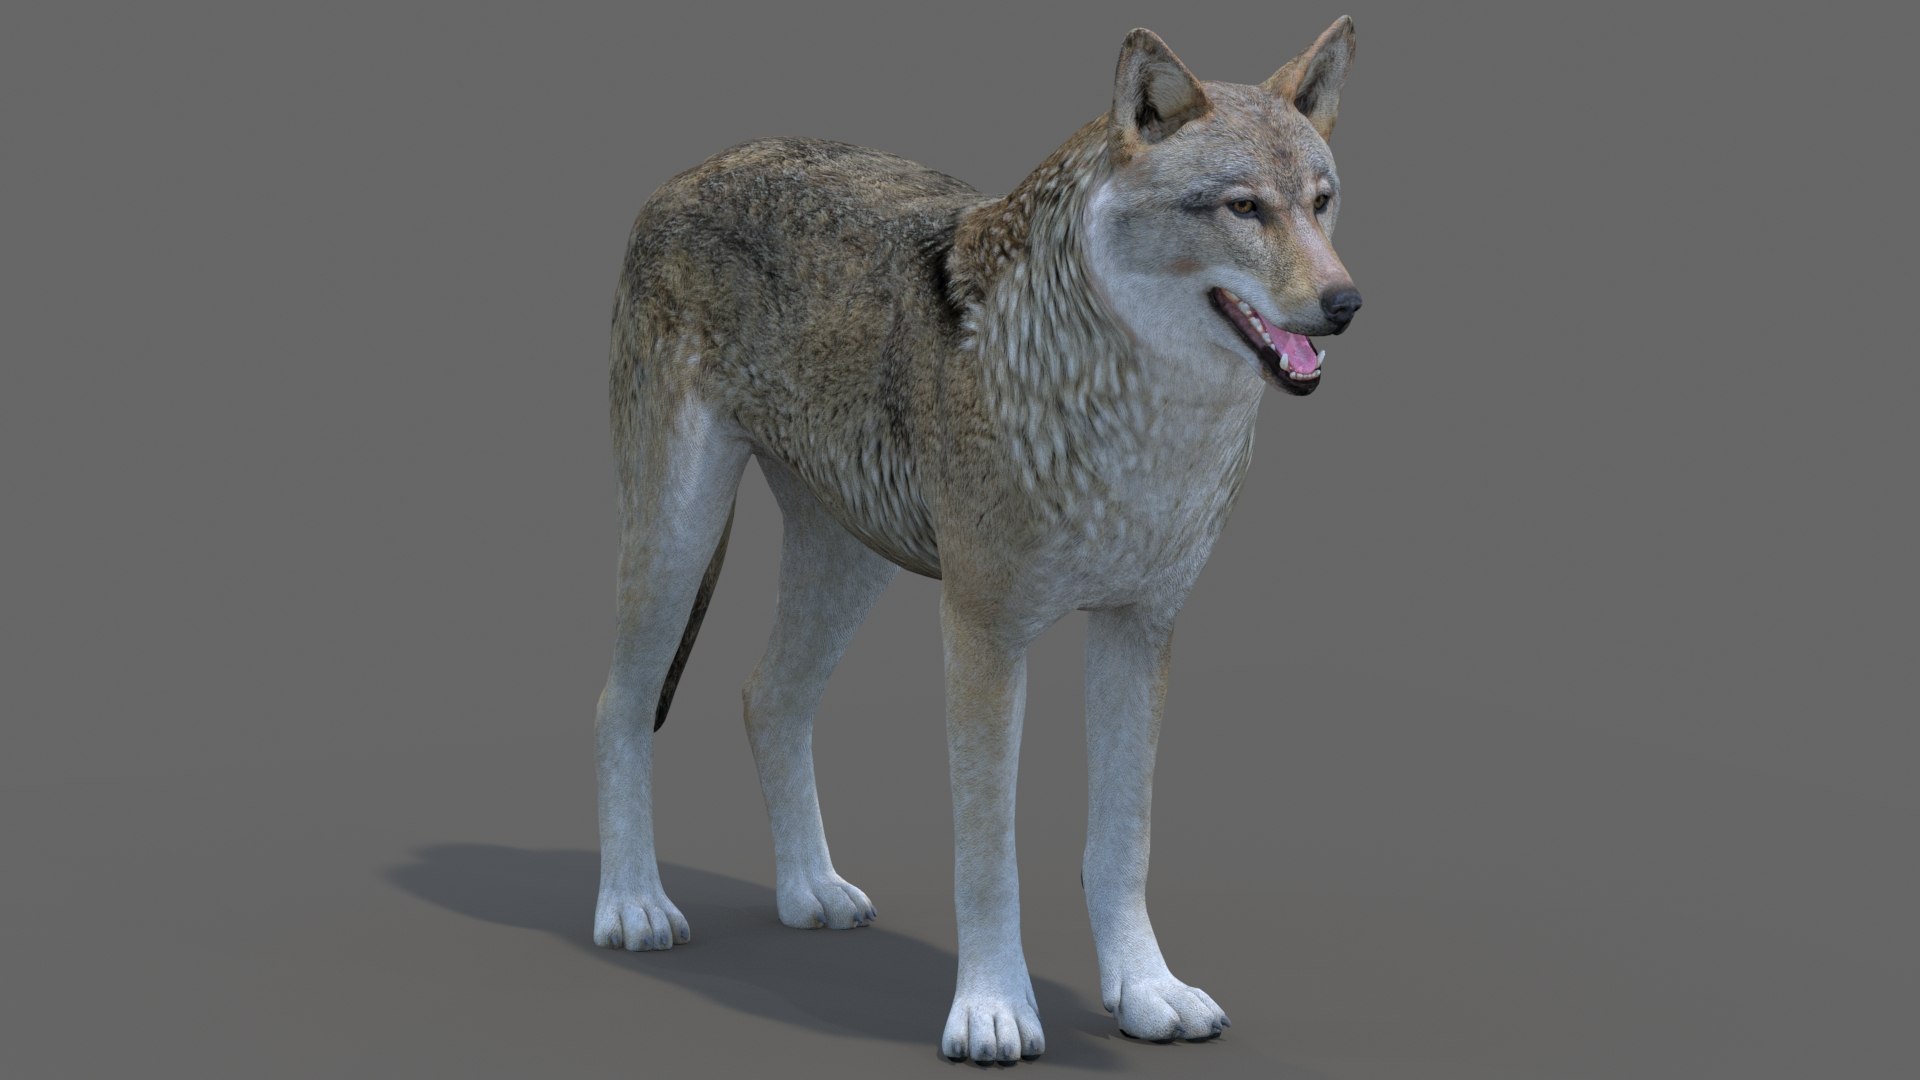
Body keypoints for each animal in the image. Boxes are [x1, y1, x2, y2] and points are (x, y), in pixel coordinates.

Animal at [592, 17, 1363, 1062]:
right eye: (1243, 208)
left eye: (1322, 204)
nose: (1346, 304)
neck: (1146, 421)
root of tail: (688, 172)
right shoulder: (984, 635)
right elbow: (989, 854)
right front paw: (994, 1011)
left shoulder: (1140, 629)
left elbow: (1123, 844)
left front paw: (1146, 991)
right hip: (679, 537)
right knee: (621, 704)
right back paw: (633, 906)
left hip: (850, 563)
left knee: (767, 699)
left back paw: (808, 892)